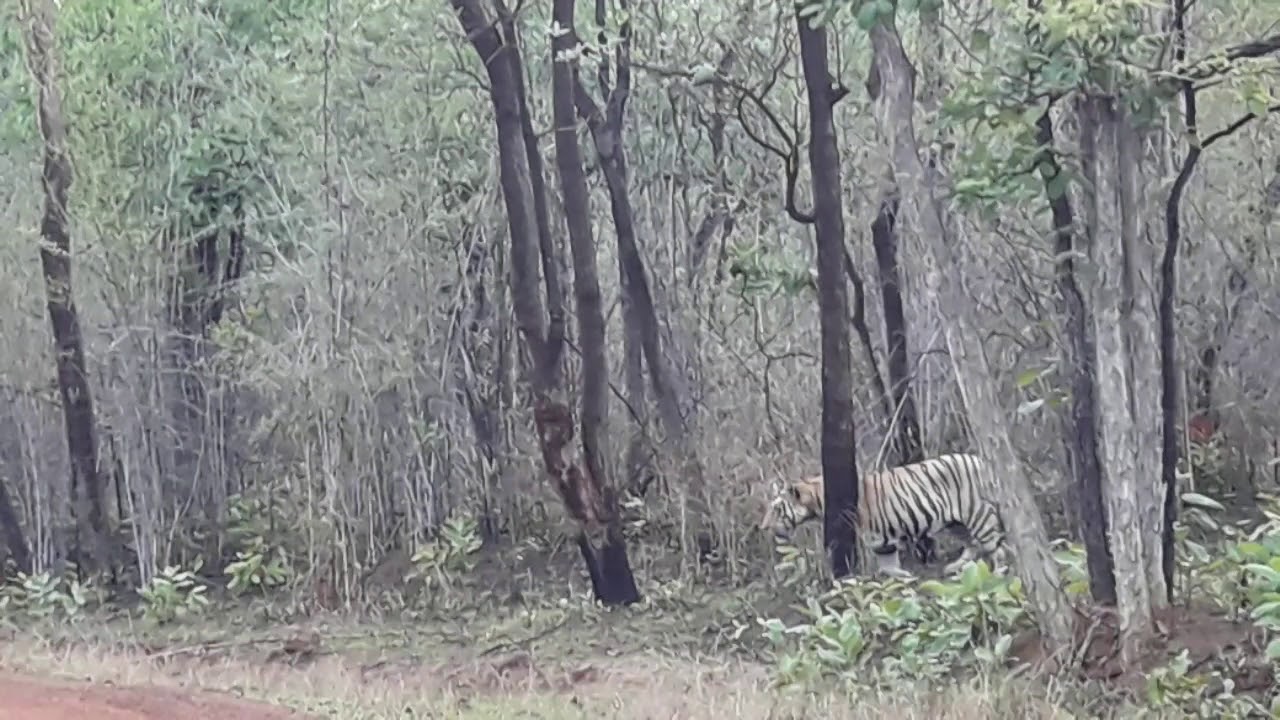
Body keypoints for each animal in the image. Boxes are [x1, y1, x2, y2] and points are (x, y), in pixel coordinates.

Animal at [758, 453, 1008, 577]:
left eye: (777, 509)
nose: (763, 527)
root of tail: (981, 459)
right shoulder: (881, 539)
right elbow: (888, 563)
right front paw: (901, 577)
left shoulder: (873, 534)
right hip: (954, 522)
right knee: (972, 544)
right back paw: (956, 567)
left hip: (975, 511)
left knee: (995, 546)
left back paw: (998, 573)